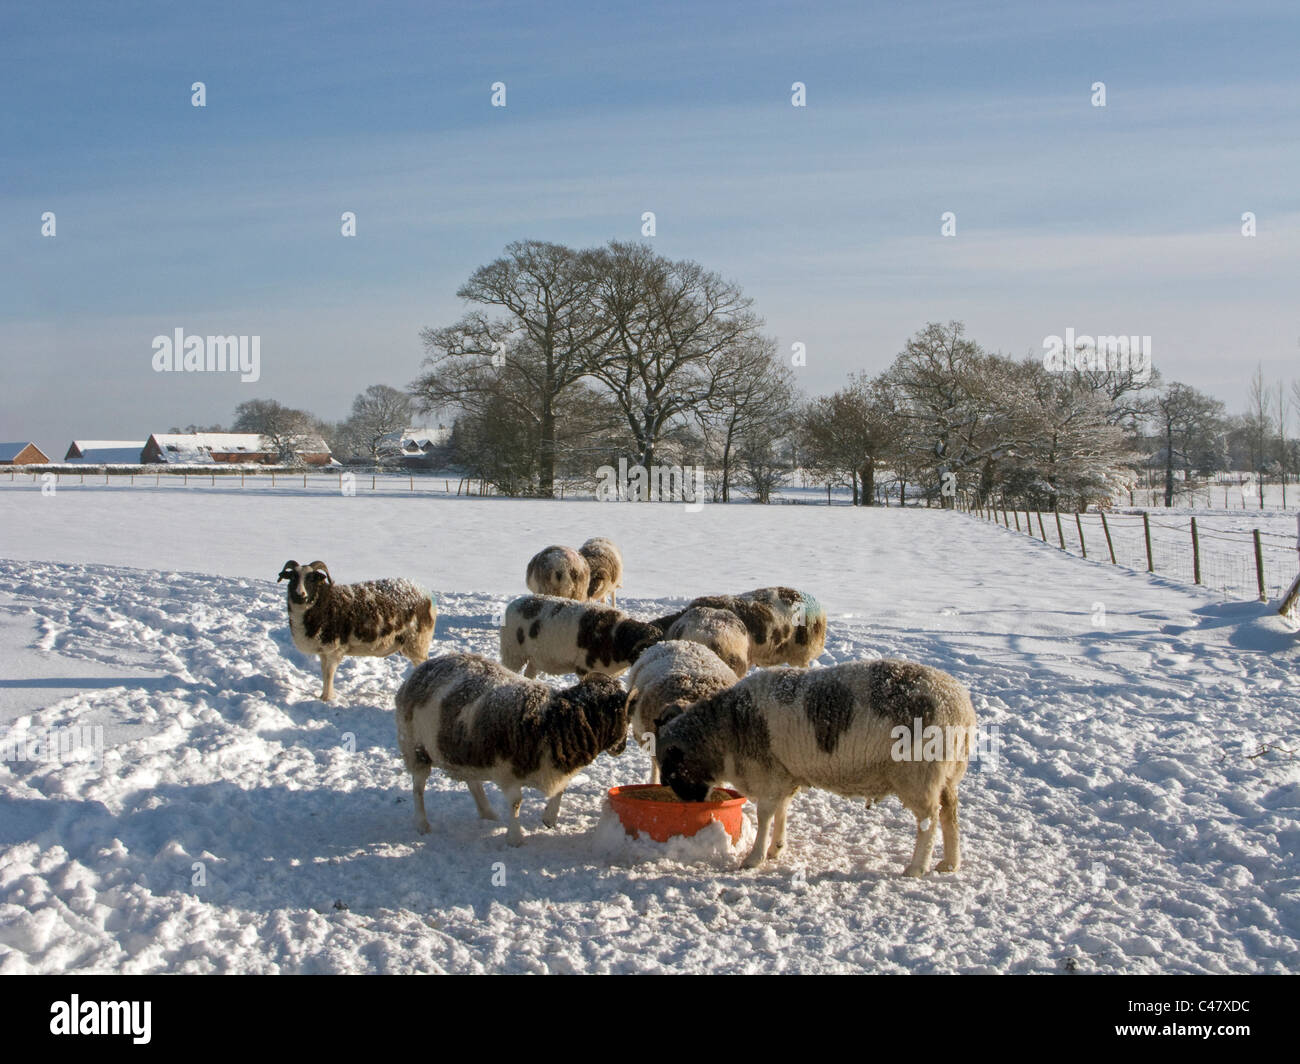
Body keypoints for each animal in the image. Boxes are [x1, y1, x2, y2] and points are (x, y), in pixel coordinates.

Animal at [277, 560, 436, 702]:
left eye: (311, 578)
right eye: (293, 577)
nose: (300, 595)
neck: (323, 604)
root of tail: (426, 595)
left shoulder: (336, 649)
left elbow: (329, 673)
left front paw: (327, 699)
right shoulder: (324, 650)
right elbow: (324, 672)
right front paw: (323, 696)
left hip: (417, 642)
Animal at [394, 652, 629, 845]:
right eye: (624, 715)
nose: (622, 749)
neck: (554, 720)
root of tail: (421, 670)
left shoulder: (558, 766)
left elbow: (560, 789)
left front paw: (549, 818)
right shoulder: (508, 771)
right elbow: (516, 803)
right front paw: (515, 838)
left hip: (465, 748)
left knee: (473, 782)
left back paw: (488, 813)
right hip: (415, 748)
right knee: (418, 789)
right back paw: (422, 824)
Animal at [499, 595, 662, 680]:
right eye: (646, 647)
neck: (616, 636)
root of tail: (513, 604)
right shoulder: (584, 669)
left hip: (534, 657)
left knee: (529, 674)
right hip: (513, 654)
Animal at [655, 659, 976, 876]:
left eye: (671, 771)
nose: (690, 803)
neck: (726, 728)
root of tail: (961, 708)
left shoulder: (768, 775)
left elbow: (765, 815)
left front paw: (754, 858)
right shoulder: (783, 774)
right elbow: (781, 811)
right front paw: (776, 849)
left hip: (918, 773)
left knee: (929, 820)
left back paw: (916, 868)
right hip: (946, 775)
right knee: (950, 814)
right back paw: (949, 863)